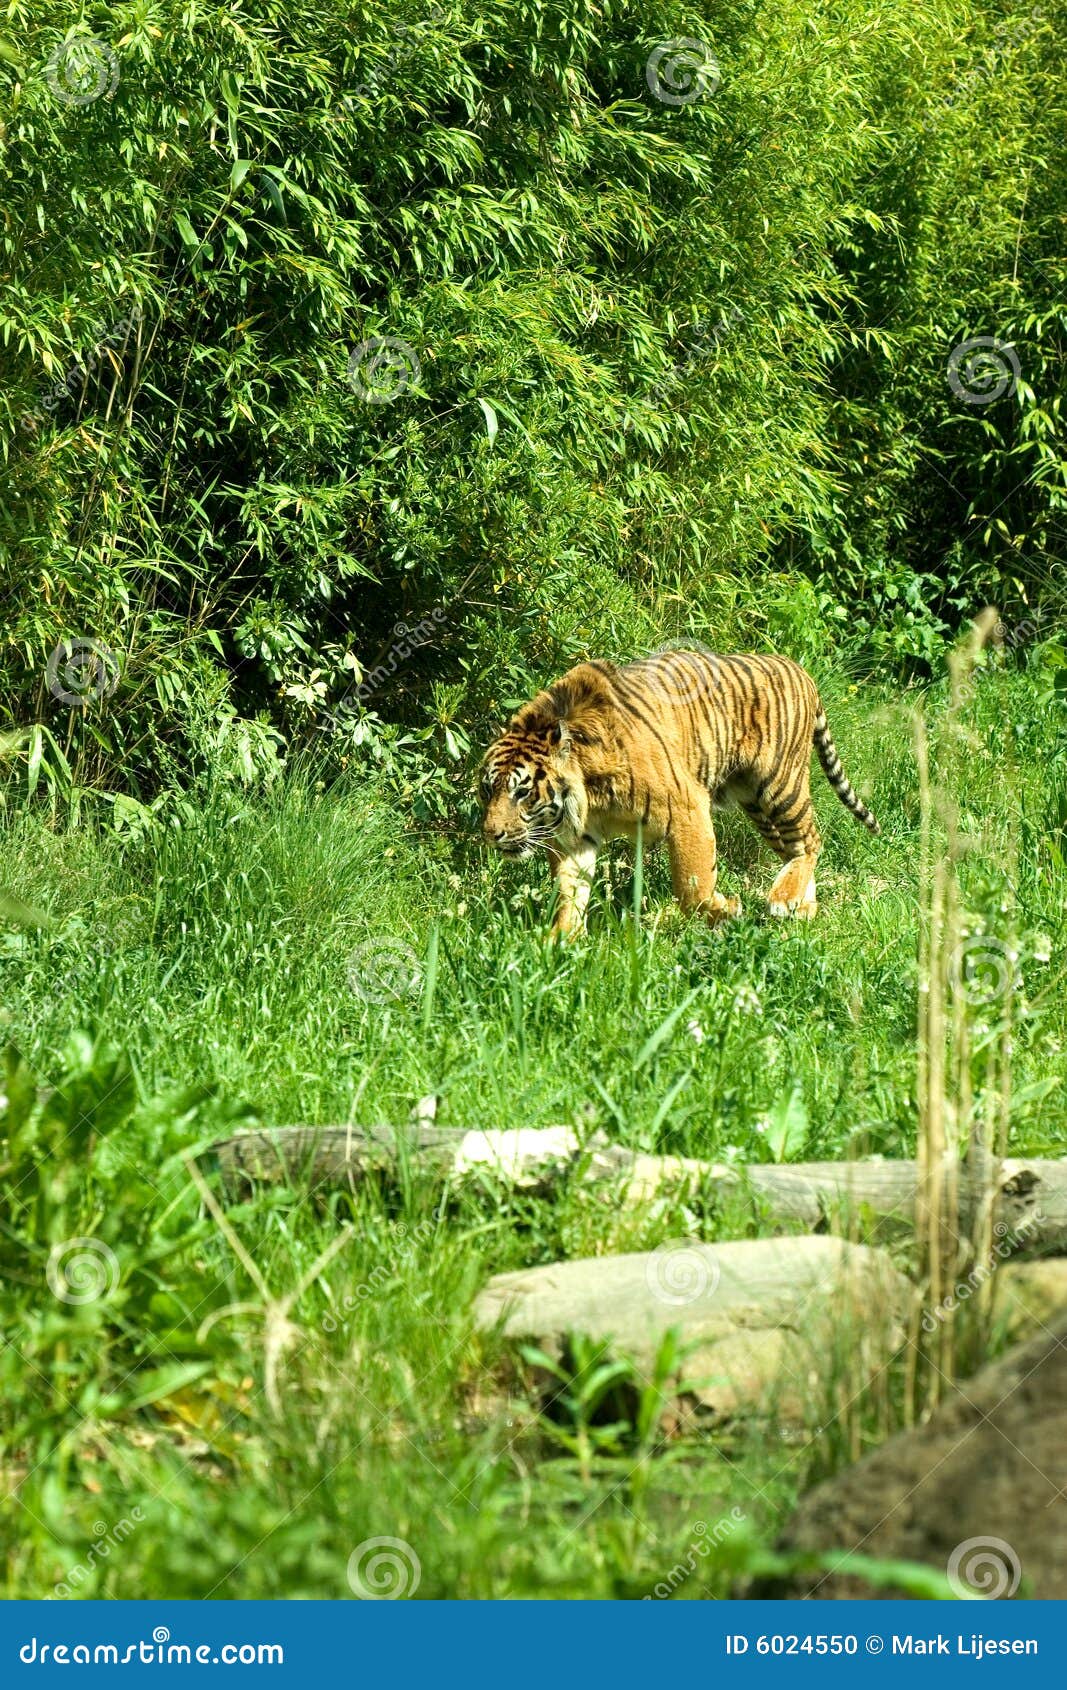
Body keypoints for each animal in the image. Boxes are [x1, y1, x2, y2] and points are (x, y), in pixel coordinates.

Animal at [479, 649, 879, 935]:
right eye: (487, 790)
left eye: (521, 793)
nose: (490, 834)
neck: (589, 794)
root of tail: (799, 669)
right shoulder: (576, 838)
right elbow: (569, 894)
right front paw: (561, 943)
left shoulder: (687, 808)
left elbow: (693, 884)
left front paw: (725, 910)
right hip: (756, 803)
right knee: (794, 848)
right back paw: (802, 908)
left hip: (779, 786)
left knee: (811, 840)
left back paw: (784, 900)